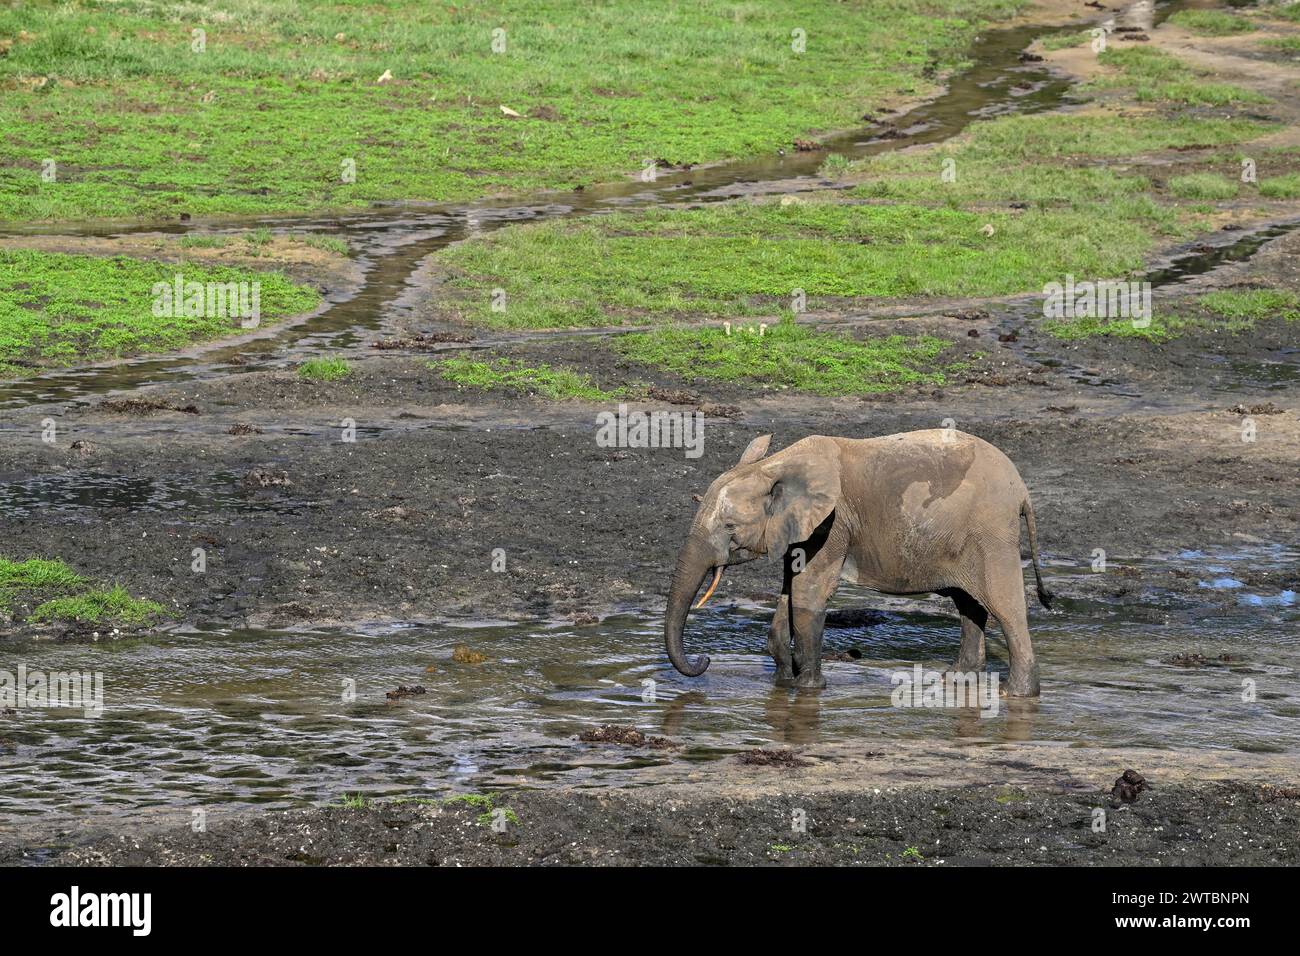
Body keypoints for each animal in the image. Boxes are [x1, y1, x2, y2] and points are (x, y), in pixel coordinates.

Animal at [663, 430, 1053, 696]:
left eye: (729, 527)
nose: (704, 661)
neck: (774, 465)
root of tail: (1022, 490)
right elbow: (790, 591)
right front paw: (783, 680)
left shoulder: (832, 524)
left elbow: (809, 594)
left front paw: (809, 688)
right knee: (969, 603)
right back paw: (956, 679)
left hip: (991, 534)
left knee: (1004, 605)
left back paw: (1014, 694)